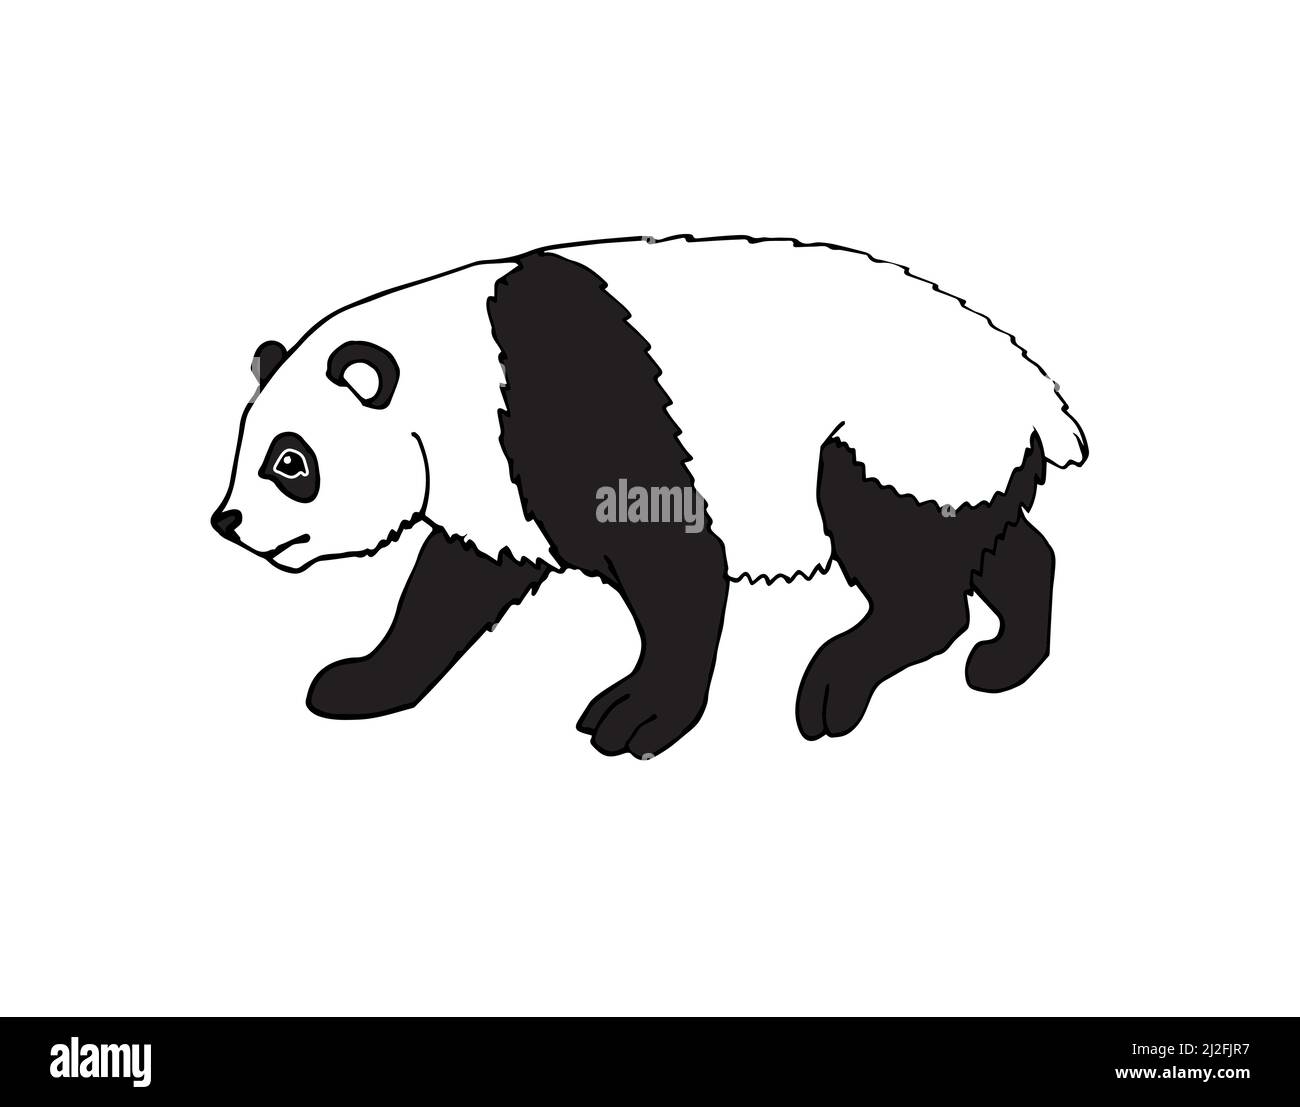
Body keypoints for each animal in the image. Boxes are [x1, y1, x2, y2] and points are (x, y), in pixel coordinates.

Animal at [212, 234, 1087, 758]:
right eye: (243, 448)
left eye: (291, 462)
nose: (227, 522)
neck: (457, 370)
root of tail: (1037, 389)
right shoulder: (498, 485)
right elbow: (447, 589)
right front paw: (357, 682)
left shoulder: (579, 418)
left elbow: (676, 562)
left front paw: (636, 714)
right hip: (964, 456)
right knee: (994, 544)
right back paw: (1004, 660)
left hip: (897, 431)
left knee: (899, 550)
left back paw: (836, 683)